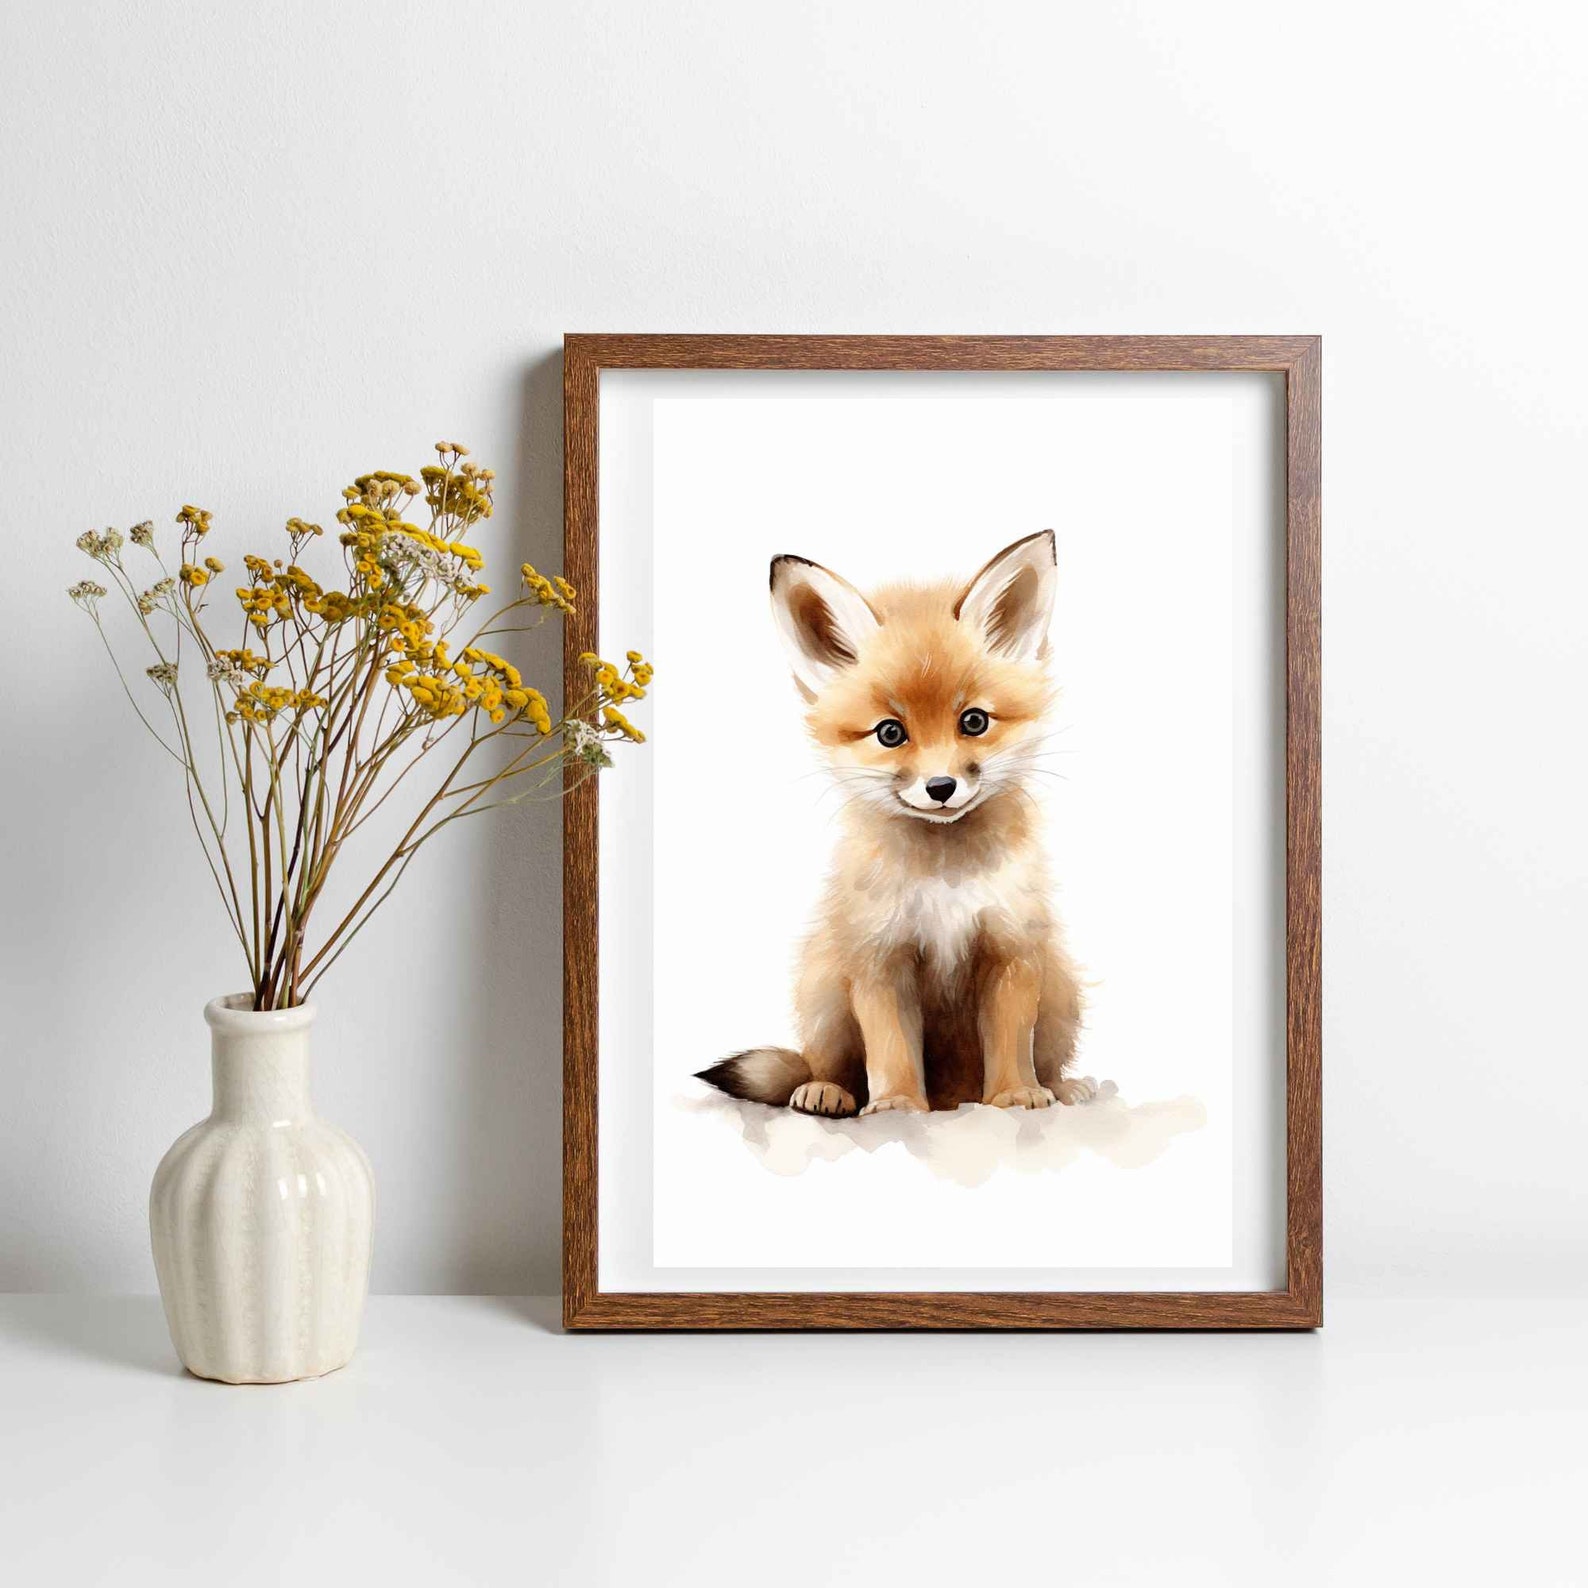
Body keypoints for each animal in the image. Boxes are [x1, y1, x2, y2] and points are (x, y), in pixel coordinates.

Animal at [697, 529, 1090, 1118]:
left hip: (1061, 990)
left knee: (1047, 1058)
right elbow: (891, 1048)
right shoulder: (881, 959)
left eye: (974, 721)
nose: (941, 788)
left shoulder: (1010, 949)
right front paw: (899, 1104)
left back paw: (1061, 1088)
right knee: (825, 1065)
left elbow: (1010, 1041)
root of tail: (955, 1096)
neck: (945, 877)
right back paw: (825, 1091)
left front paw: (1014, 1095)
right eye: (889, 733)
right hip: (824, 987)